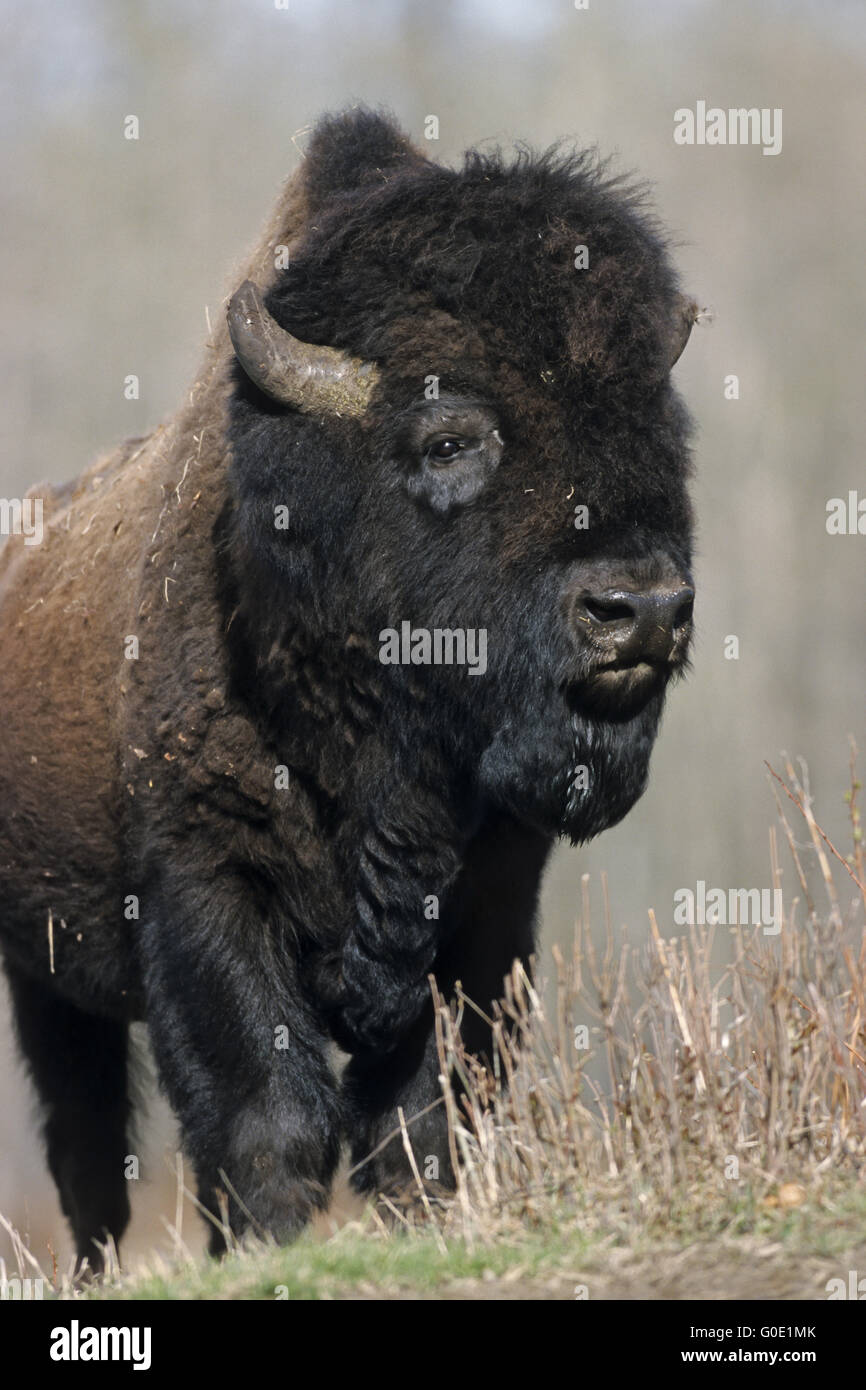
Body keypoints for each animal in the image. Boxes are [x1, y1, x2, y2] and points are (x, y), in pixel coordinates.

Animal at [0, 108, 699, 1270]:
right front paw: (271, 1246)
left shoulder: (485, 907)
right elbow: (268, 1112)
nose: (638, 609)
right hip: (42, 973)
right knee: (86, 1146)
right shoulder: (206, 885)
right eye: (449, 438)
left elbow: (425, 1109)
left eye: (662, 430)